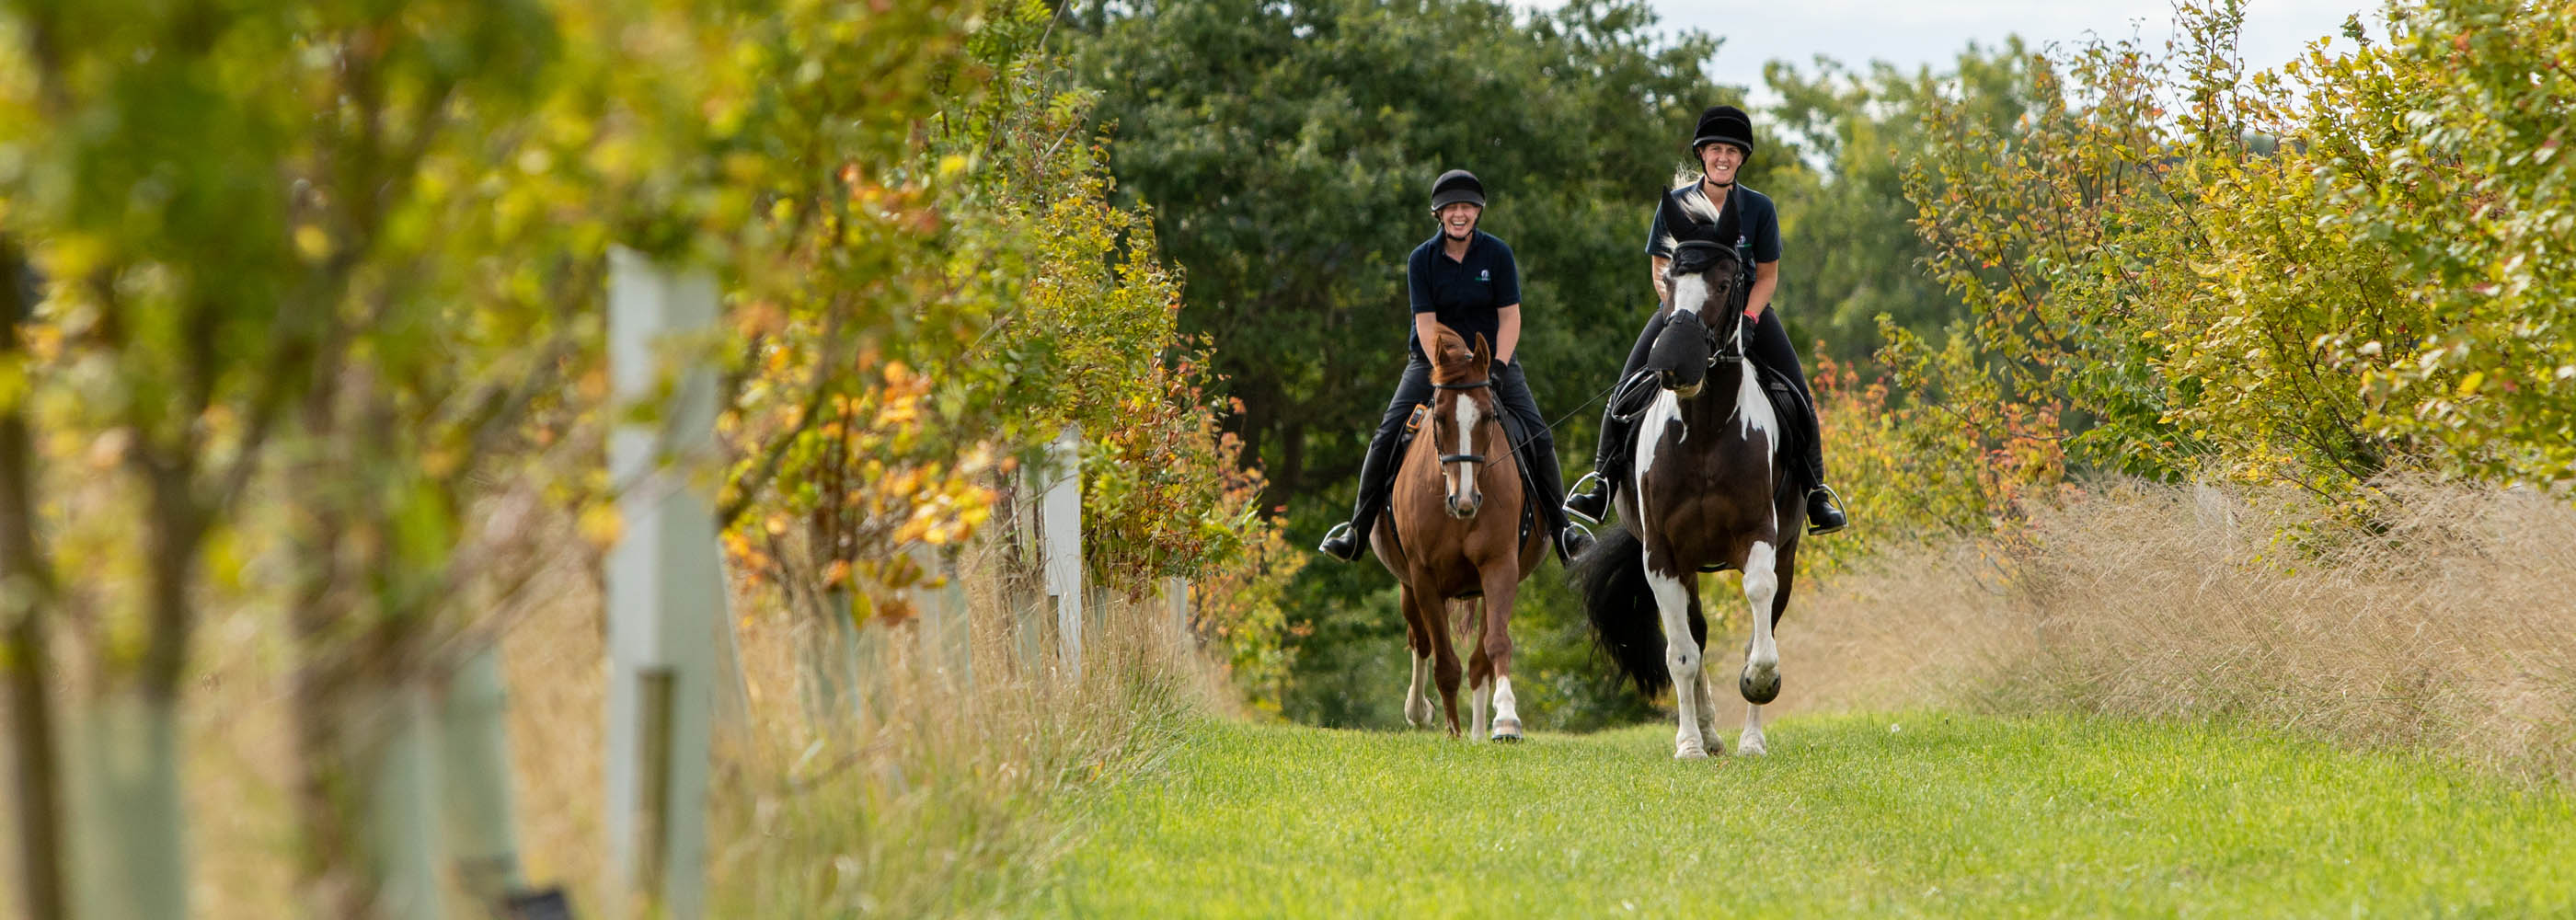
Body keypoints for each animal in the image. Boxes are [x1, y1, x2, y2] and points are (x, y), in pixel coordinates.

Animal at [1371, 325, 1549, 740]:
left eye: (1487, 416)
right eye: (1438, 417)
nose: (1464, 500)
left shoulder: (1500, 567)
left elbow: (1496, 645)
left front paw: (1506, 720)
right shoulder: (1423, 578)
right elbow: (1444, 663)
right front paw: (1451, 731)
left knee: (1480, 659)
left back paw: (1481, 732)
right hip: (1407, 586)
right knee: (1419, 641)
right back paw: (1419, 711)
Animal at [1569, 234, 1806, 759]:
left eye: (1723, 283)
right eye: (1669, 281)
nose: (1674, 364)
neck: (1704, 431)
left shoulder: (1760, 535)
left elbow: (1759, 619)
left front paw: (1759, 685)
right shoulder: (1662, 554)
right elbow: (1681, 654)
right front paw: (1689, 745)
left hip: (1785, 552)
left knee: (1764, 621)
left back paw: (1749, 738)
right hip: (1687, 564)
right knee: (1695, 634)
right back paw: (1710, 733)